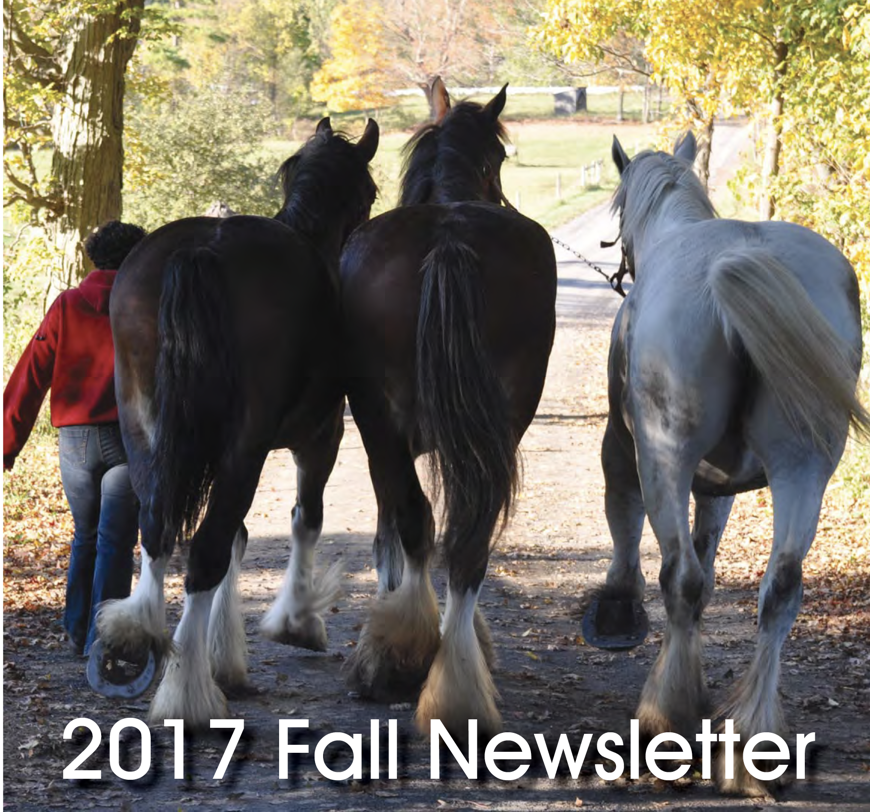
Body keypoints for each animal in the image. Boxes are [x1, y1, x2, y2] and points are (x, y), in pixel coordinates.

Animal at [88, 118, 380, 727]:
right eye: (368, 193)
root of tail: (205, 249)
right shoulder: (319, 439)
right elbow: (305, 519)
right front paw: (297, 622)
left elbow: (242, 538)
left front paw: (226, 656)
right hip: (244, 445)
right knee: (205, 550)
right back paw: (187, 693)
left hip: (144, 427)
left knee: (160, 530)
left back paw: (138, 632)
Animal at [338, 78, 557, 736]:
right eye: (502, 158)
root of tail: (450, 234)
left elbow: (390, 535)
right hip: (499, 420)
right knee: (467, 540)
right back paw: (455, 678)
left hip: (379, 423)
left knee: (425, 526)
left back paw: (415, 665)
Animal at [584, 131, 869, 794]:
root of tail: (738, 263)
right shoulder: (719, 488)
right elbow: (712, 563)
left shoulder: (628, 452)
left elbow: (632, 533)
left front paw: (617, 612)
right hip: (803, 469)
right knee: (781, 587)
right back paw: (751, 744)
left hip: (665, 458)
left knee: (680, 578)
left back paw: (666, 718)